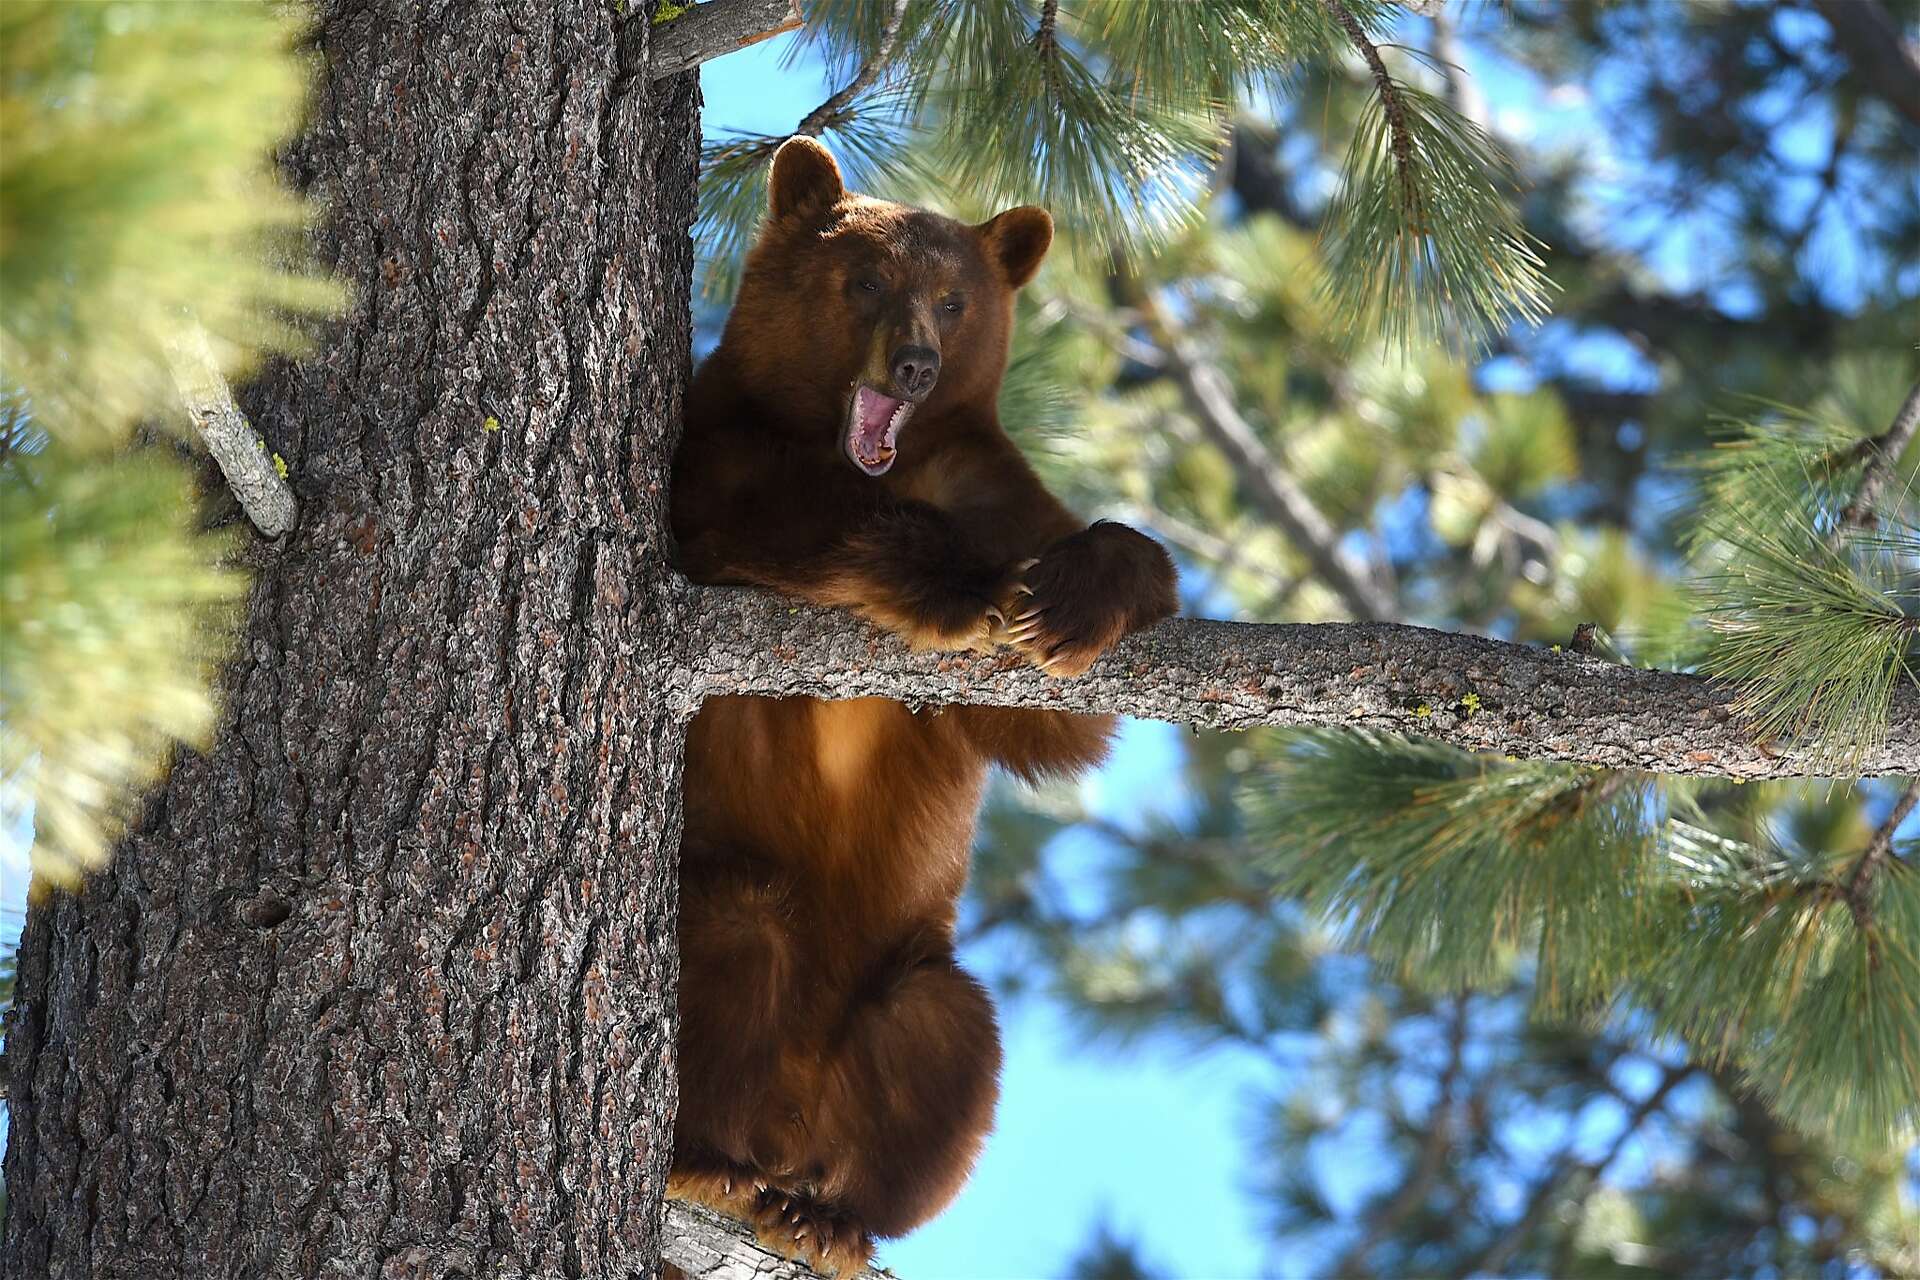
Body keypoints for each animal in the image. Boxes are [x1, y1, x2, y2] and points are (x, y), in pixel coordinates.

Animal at [667, 136, 1178, 1275]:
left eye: (954, 300)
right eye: (864, 280)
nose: (914, 364)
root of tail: (784, 1128)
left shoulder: (989, 478)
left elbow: (1057, 722)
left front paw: (1079, 595)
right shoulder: (721, 443)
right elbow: (745, 512)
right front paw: (945, 582)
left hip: (901, 981)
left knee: (947, 1036)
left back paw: (830, 1213)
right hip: (719, 912)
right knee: (732, 927)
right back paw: (704, 1157)